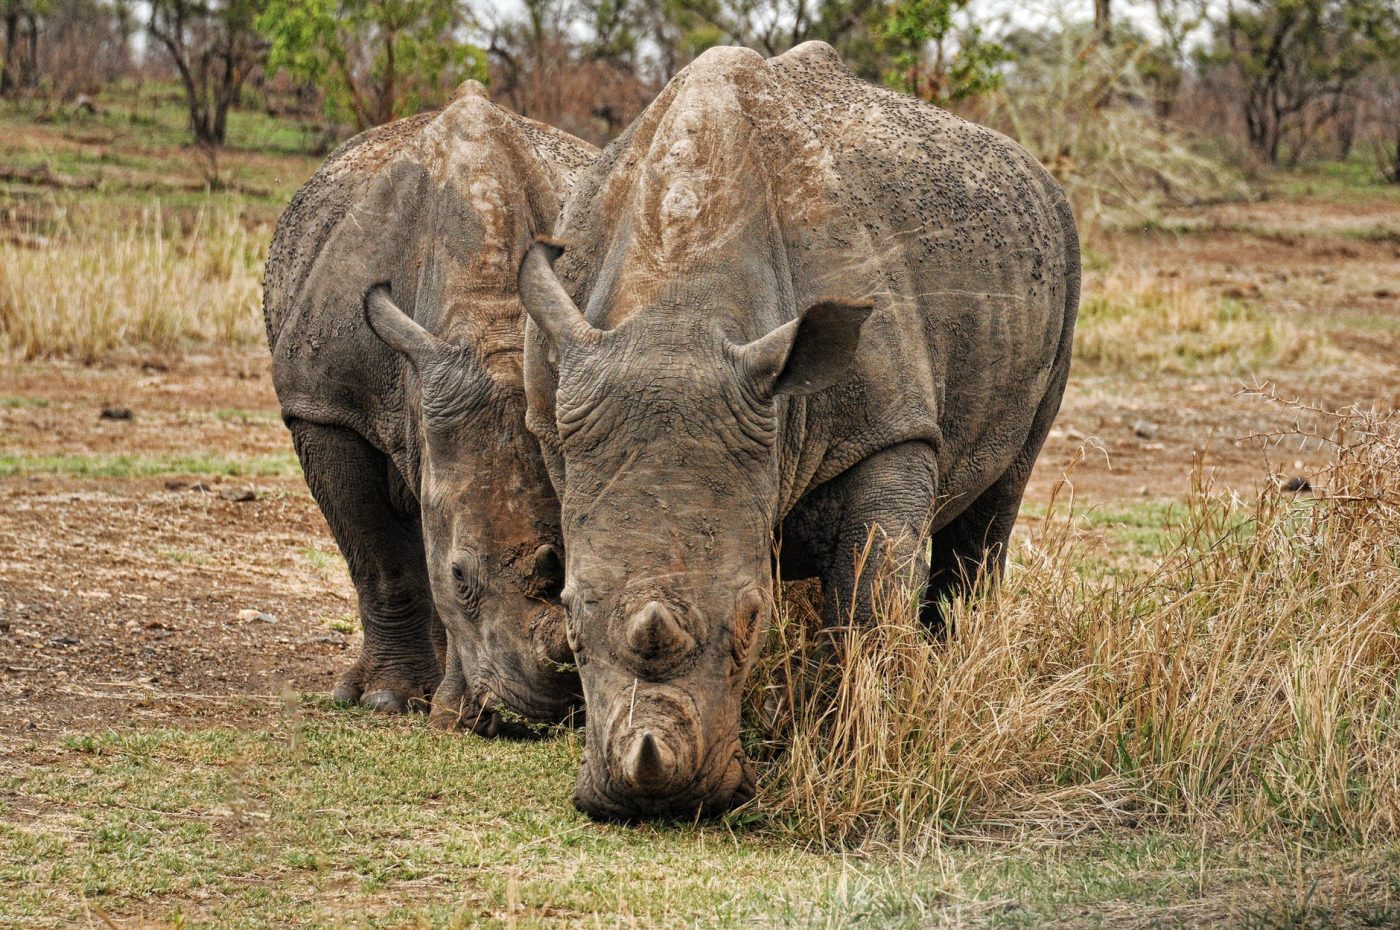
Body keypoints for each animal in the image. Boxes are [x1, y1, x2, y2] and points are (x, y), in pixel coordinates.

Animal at [517, 43, 1080, 818]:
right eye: (568, 617)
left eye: (752, 618)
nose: (656, 802)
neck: (678, 313)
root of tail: (1037, 172)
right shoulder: (558, 422)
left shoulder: (890, 428)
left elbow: (872, 597)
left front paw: (860, 749)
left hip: (1062, 255)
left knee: (1000, 495)